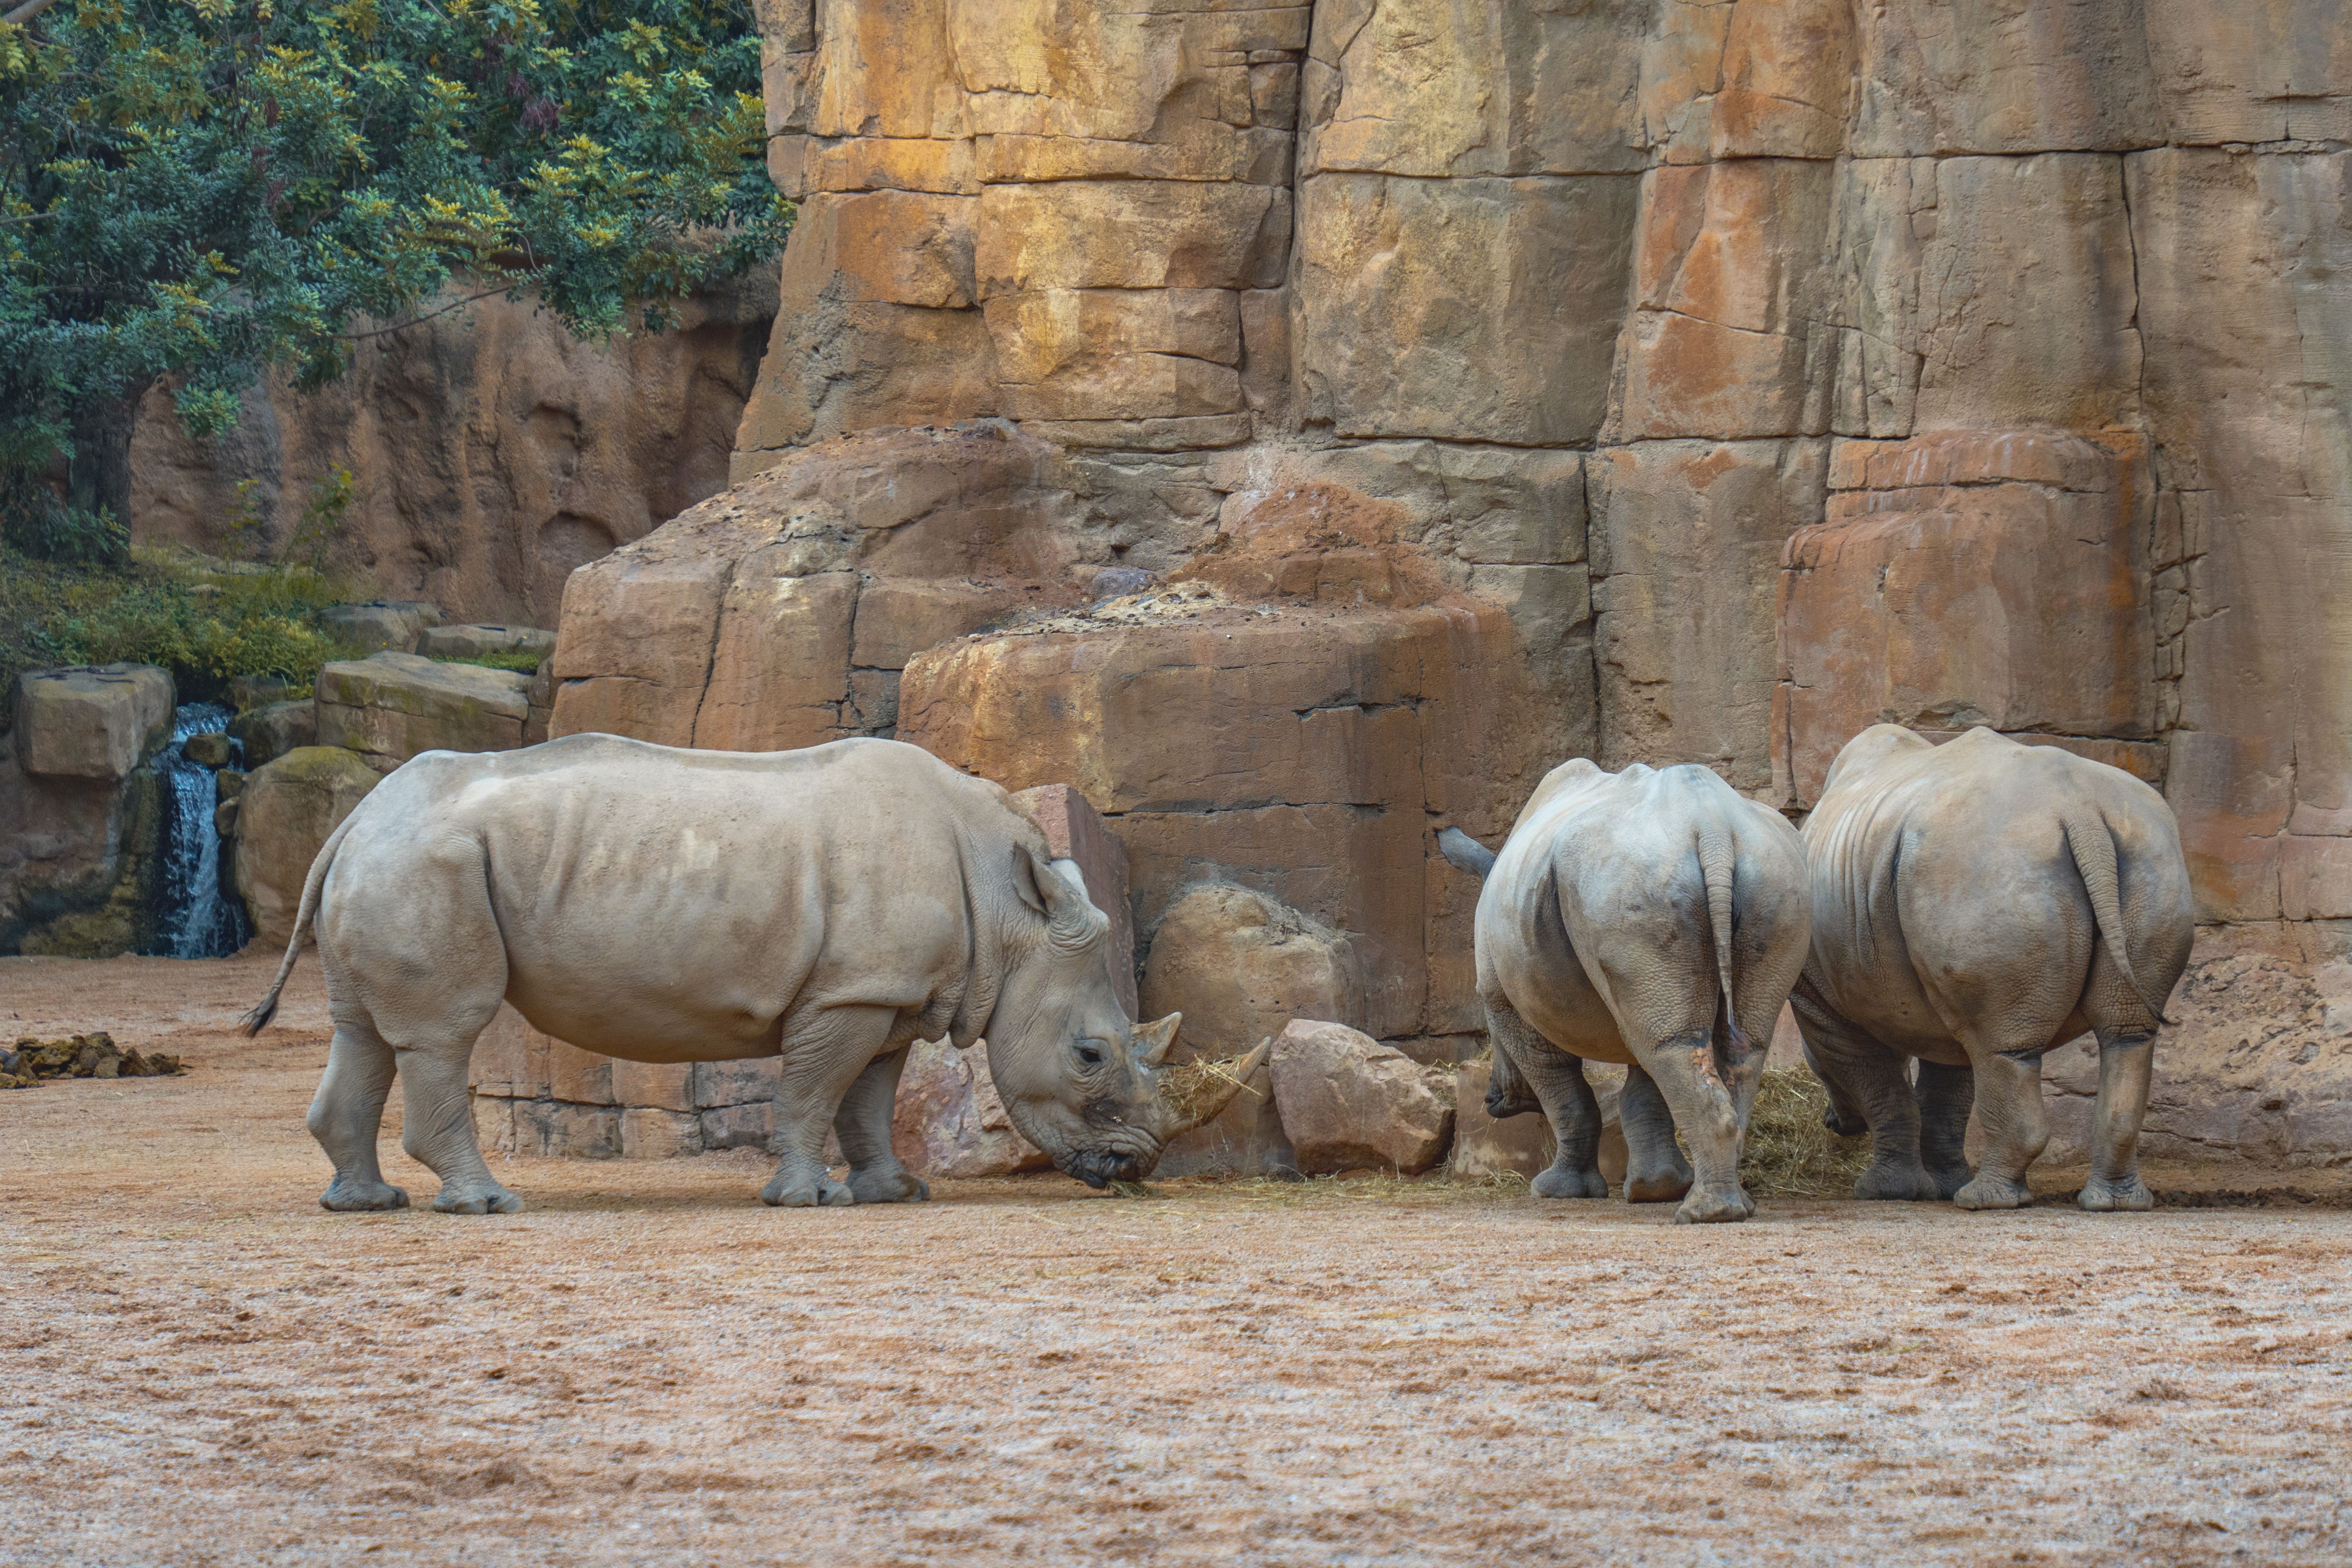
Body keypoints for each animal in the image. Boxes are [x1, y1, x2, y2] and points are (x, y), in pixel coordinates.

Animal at [241, 734, 1261, 1213]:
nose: (1135, 1166)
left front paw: (894, 1192)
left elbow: (869, 1098)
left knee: (363, 1031)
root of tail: (358, 816)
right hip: (428, 862)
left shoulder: (887, 990)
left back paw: (367, 1204)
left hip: (394, 861)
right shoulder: (850, 992)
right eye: (1091, 1054)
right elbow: (814, 1092)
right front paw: (810, 1198)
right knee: (442, 1034)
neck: (1012, 914)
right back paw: (488, 1204)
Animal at [1439, 760, 1812, 1223]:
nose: (1492, 1100)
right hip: (1773, 877)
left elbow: (1563, 1090)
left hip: (1629, 884)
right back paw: (1734, 1205)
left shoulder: (1502, 999)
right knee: (1724, 1047)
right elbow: (1643, 1088)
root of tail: (1712, 826)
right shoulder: (1639, 994)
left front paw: (1558, 1191)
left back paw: (1704, 1214)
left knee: (1670, 1049)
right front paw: (1656, 1188)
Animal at [1794, 726, 2194, 1212]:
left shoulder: (1823, 1001)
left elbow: (1883, 1090)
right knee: (2123, 1036)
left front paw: (1888, 1192)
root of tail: (2081, 812)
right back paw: (2114, 1203)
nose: (1833, 1122)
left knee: (2000, 1045)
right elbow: (1947, 1091)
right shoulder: (1935, 997)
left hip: (1981, 866)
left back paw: (1982, 1201)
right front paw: (1942, 1185)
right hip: (2145, 851)